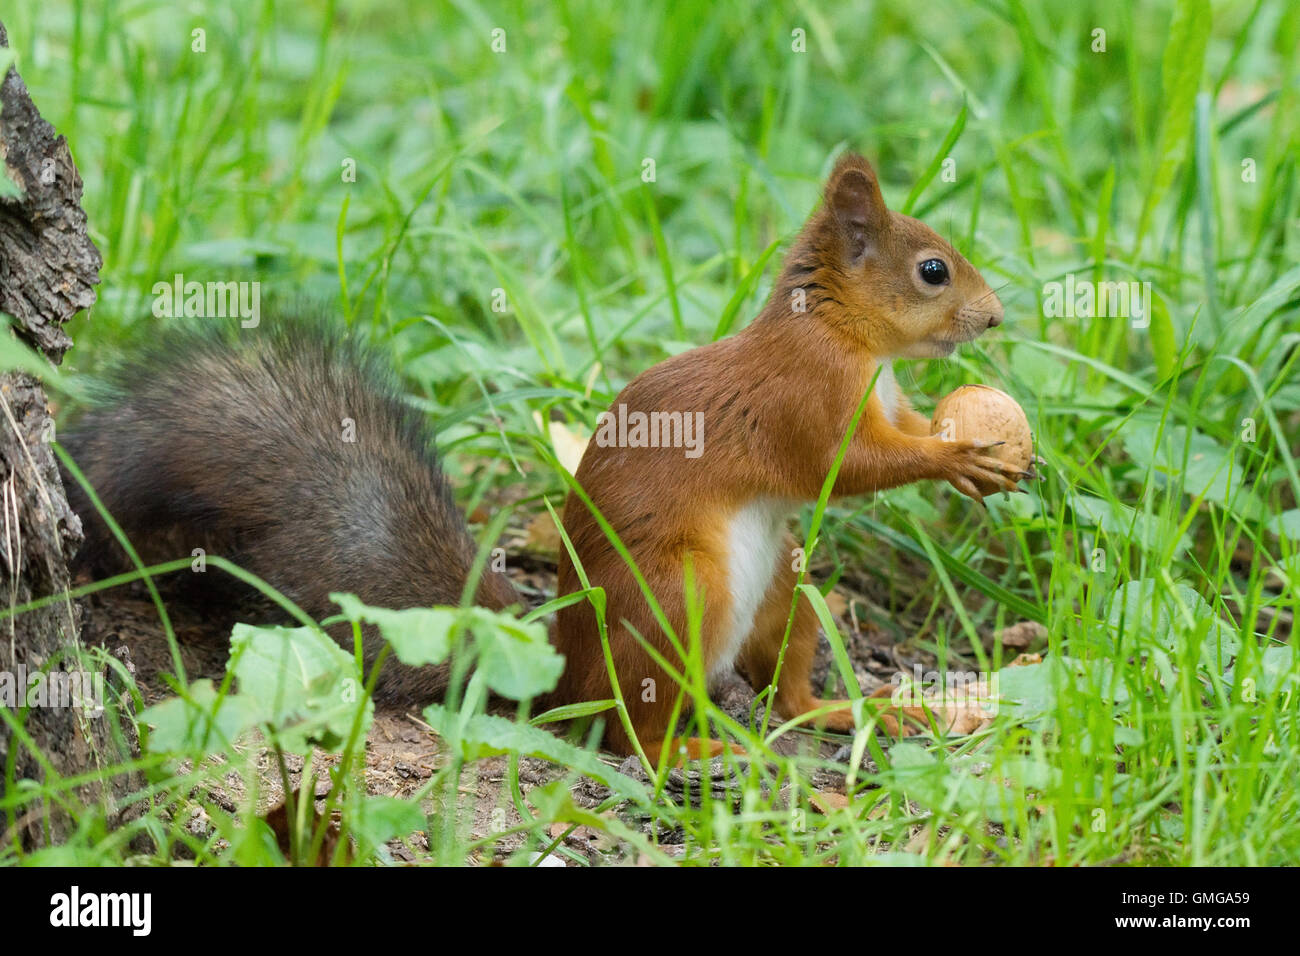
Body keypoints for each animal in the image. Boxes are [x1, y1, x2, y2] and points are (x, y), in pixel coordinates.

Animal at [62, 153, 1027, 763]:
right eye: (934, 270)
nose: (996, 318)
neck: (840, 333)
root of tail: (564, 674)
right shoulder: (804, 400)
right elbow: (845, 469)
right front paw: (963, 457)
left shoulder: (884, 397)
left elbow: (895, 439)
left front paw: (968, 435)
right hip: (678, 596)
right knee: (627, 733)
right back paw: (690, 750)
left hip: (782, 590)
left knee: (782, 694)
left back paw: (852, 711)